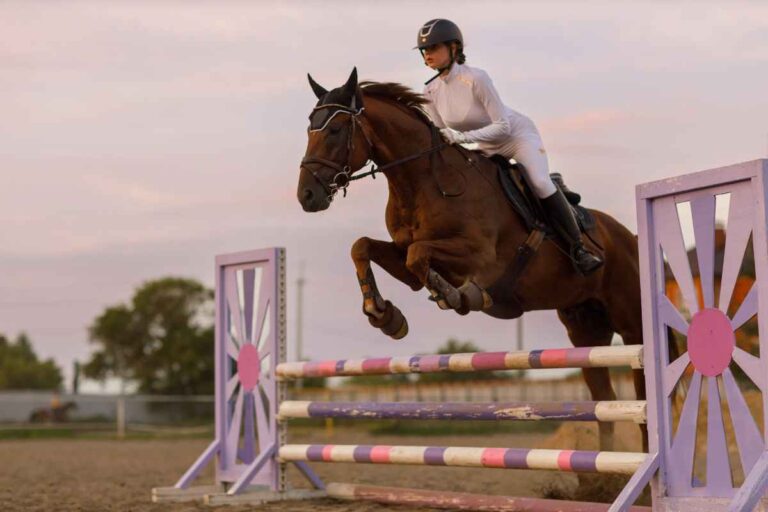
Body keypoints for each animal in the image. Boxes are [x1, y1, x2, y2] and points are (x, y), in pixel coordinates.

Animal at [297, 68, 644, 451]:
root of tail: (629, 237)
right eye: (309, 128)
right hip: (585, 331)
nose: (306, 195)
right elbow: (363, 247)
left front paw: (458, 296)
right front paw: (385, 316)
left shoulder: (479, 254)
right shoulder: (407, 263)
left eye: (334, 130)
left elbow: (421, 256)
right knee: (604, 402)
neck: (425, 181)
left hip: (632, 326)